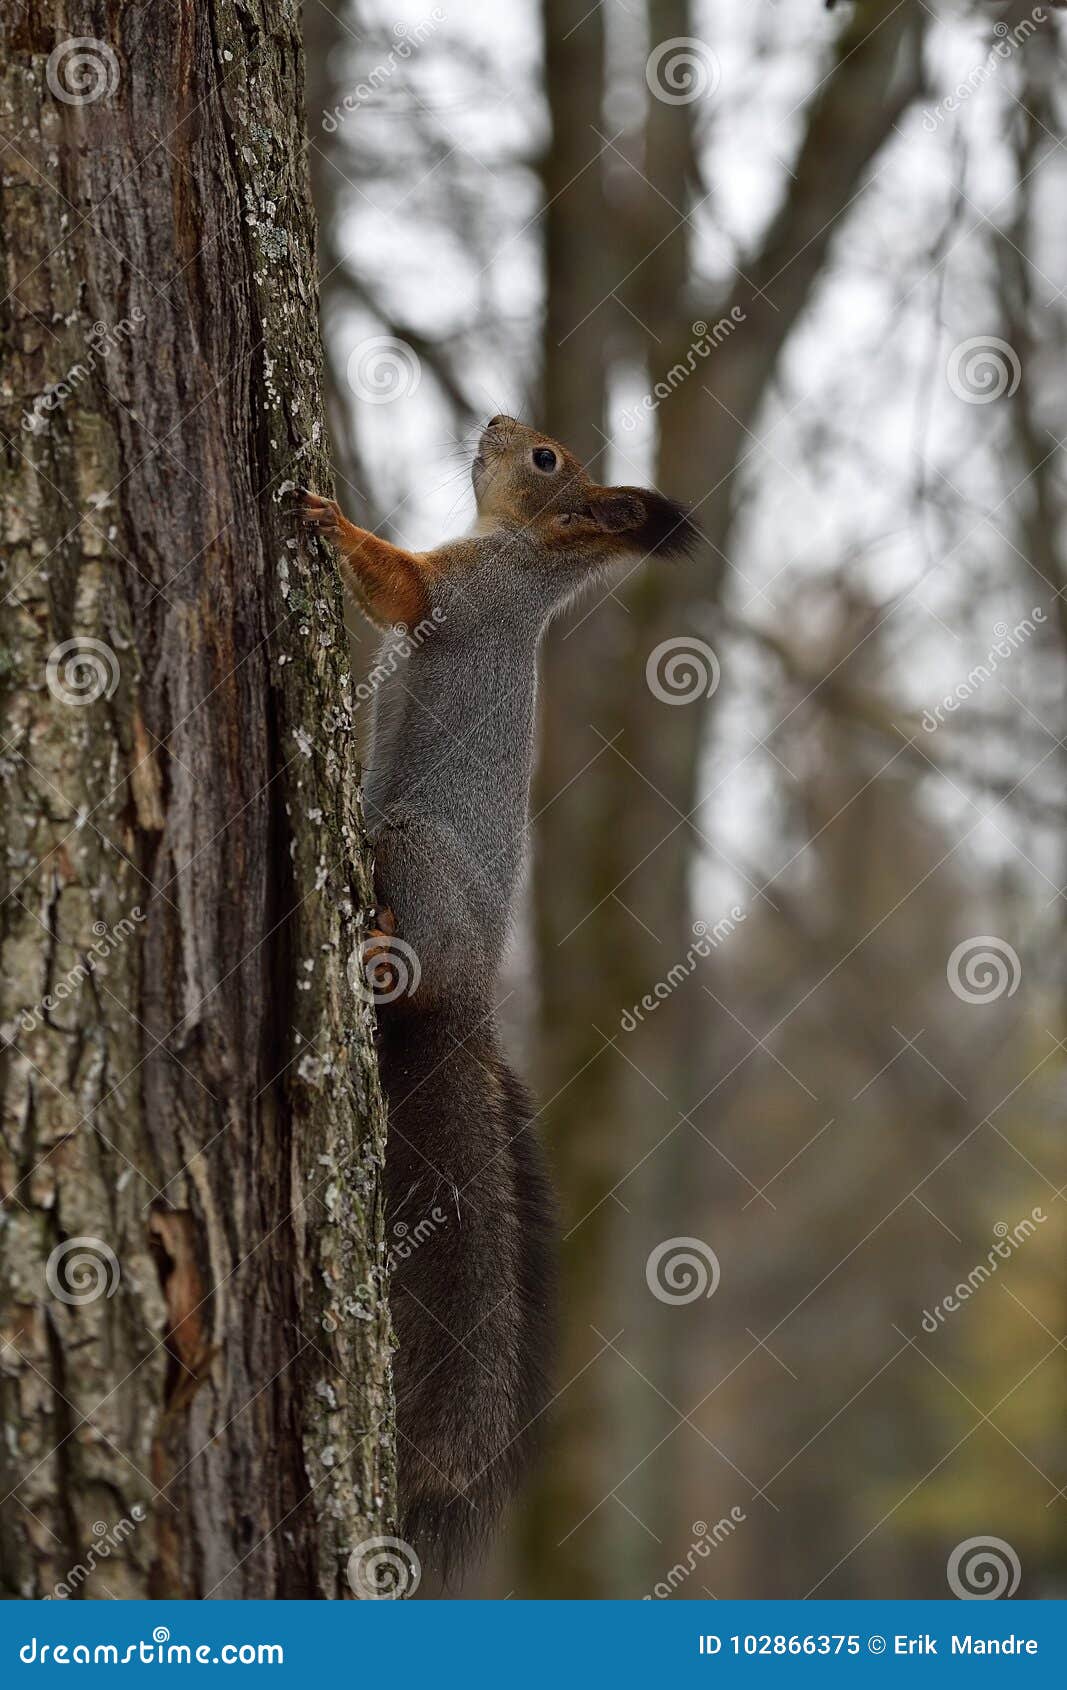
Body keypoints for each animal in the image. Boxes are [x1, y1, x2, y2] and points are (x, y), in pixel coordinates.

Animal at [299, 415, 698, 1573]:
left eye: (547, 461)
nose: (494, 425)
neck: (525, 559)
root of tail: (471, 1003)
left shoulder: (461, 590)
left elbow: (394, 586)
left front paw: (326, 514)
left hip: (410, 852)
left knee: (400, 956)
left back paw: (376, 944)